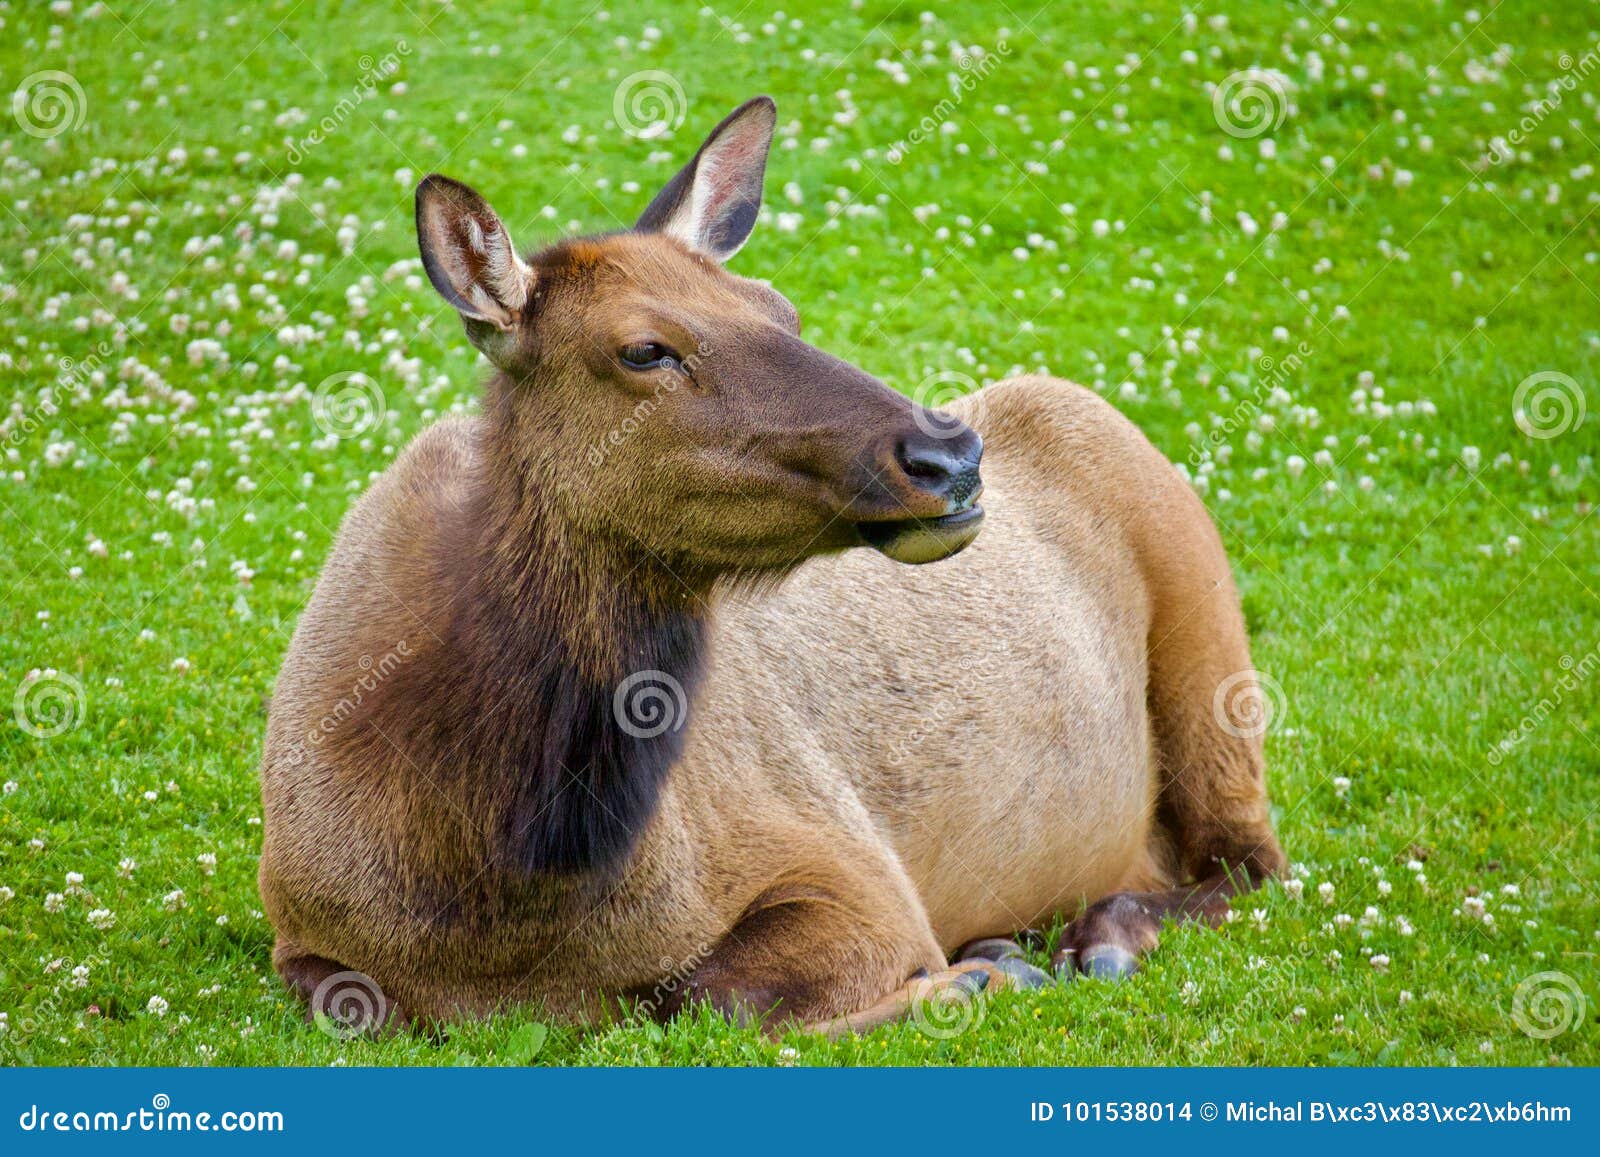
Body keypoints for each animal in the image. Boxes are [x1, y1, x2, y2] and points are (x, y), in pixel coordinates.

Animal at [258, 95, 1285, 1038]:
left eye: (780, 308)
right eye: (644, 349)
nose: (949, 455)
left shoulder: (849, 867)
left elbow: (711, 995)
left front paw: (972, 977)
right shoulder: (304, 937)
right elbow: (365, 1007)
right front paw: (980, 969)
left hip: (1213, 660)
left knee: (1249, 862)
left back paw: (1093, 937)